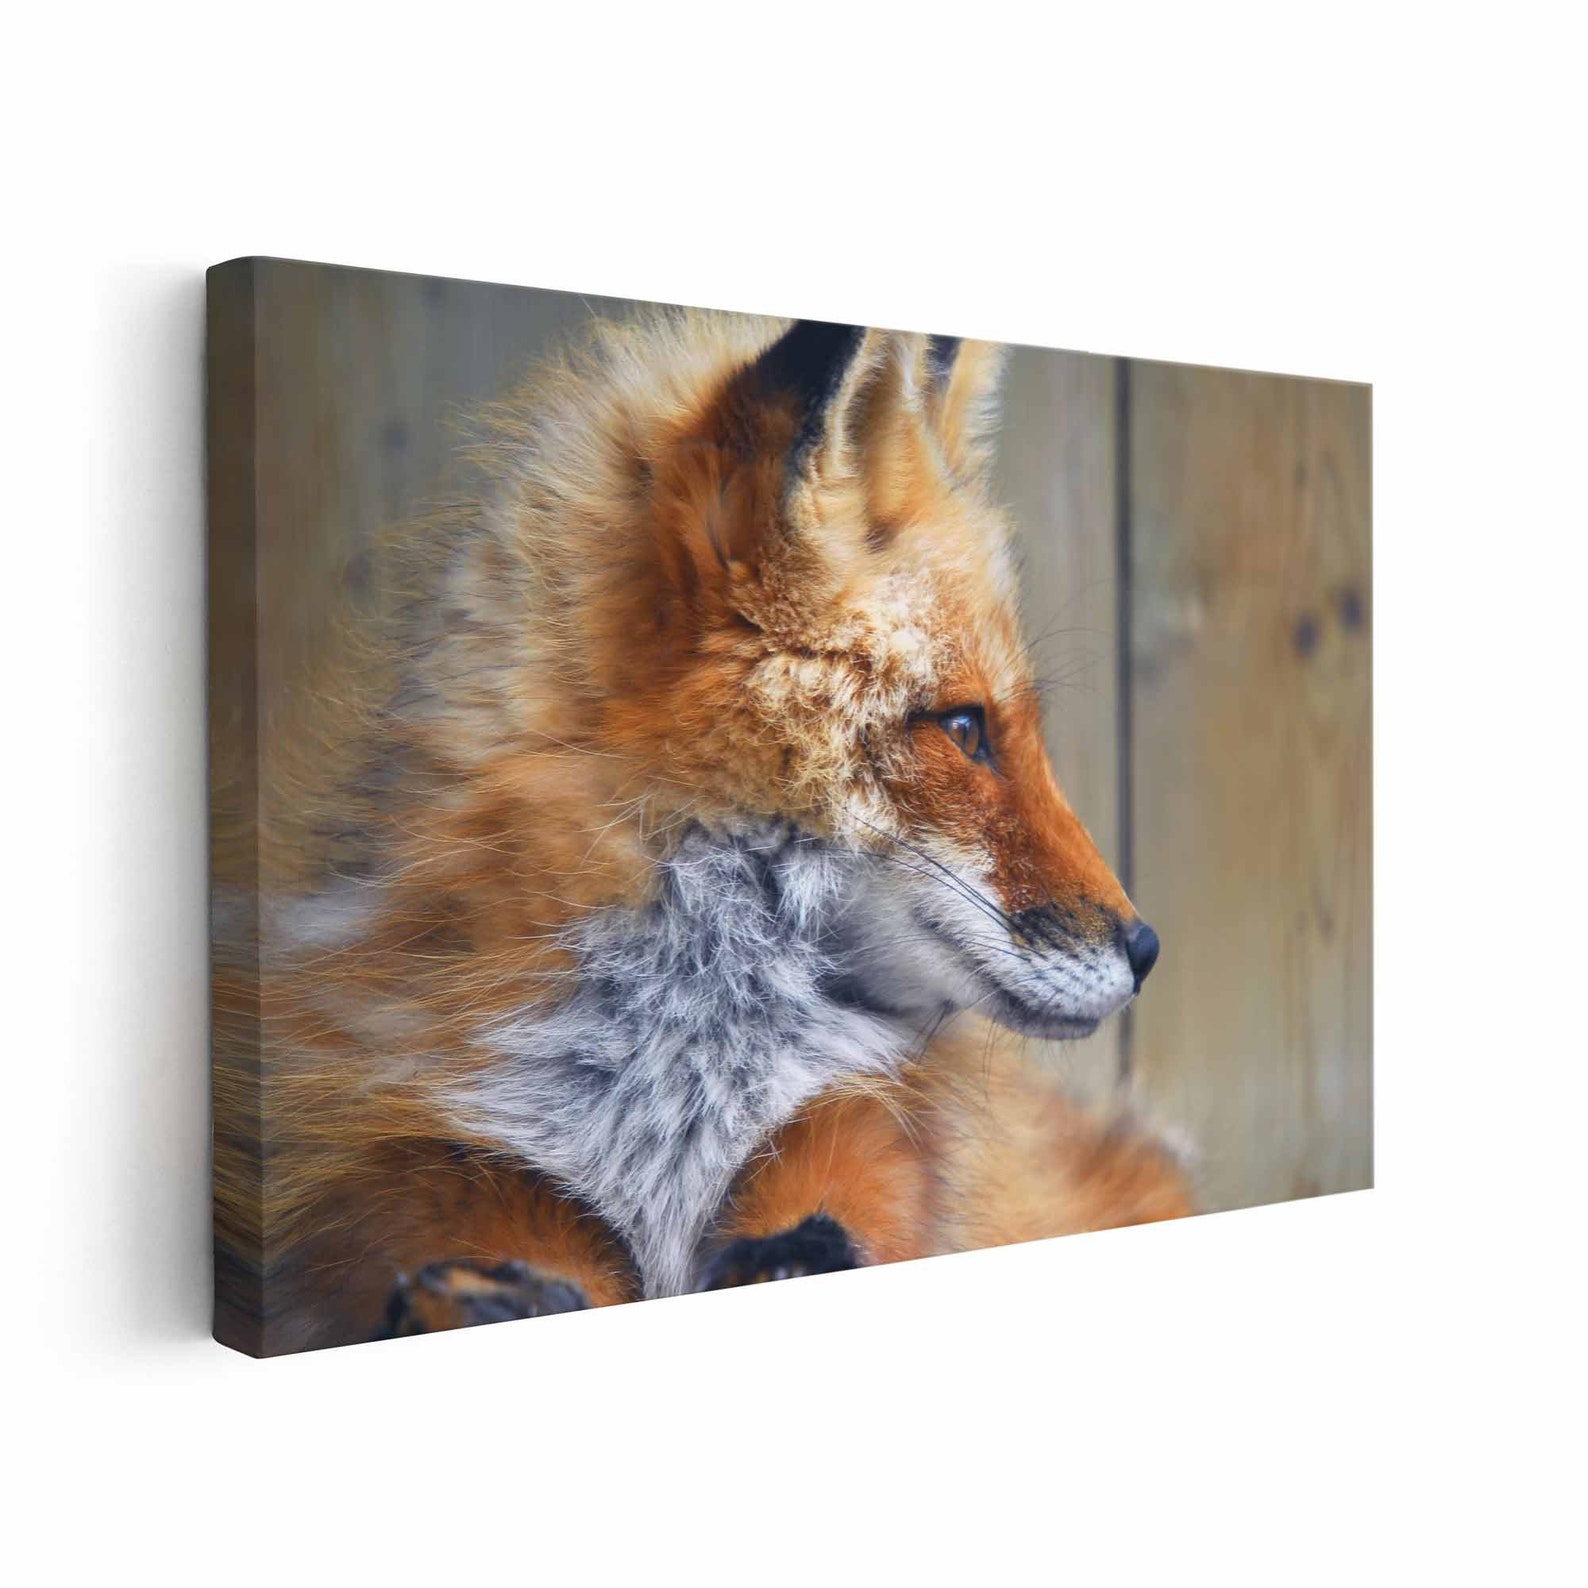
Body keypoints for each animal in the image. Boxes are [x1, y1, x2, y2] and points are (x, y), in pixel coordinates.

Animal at [211, 299, 1192, 1355]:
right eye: (966, 729)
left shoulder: (860, 1131)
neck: (674, 1081)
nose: (1146, 948)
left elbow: (836, 1225)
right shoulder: (441, 1162)